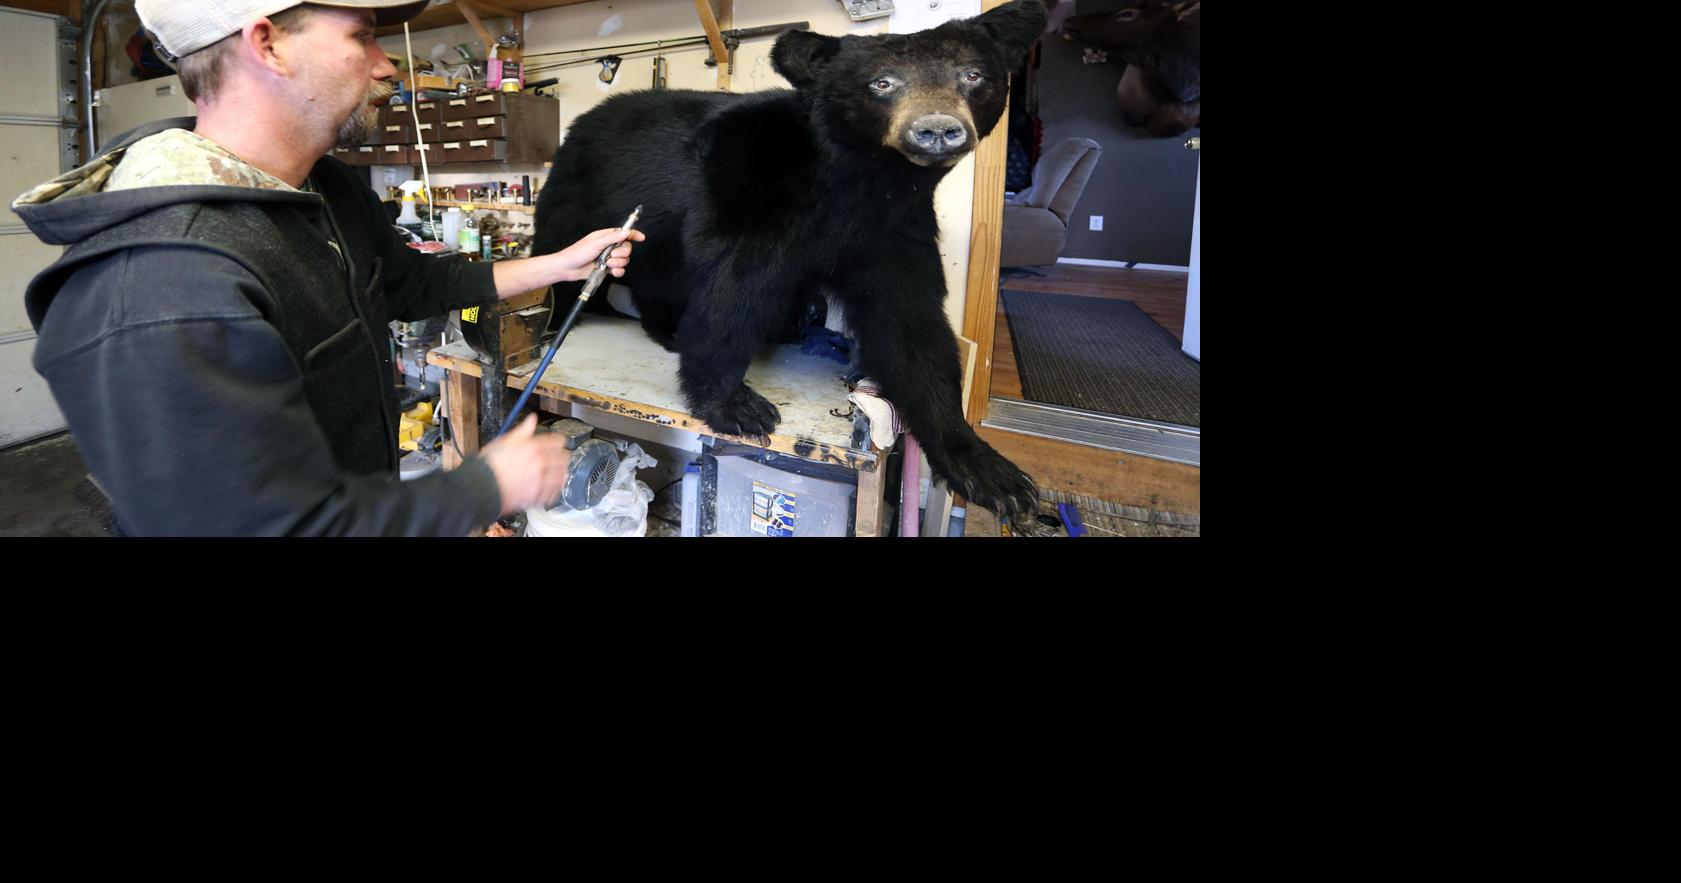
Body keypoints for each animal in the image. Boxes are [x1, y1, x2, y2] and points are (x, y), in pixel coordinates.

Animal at [533, 0, 1049, 524]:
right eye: (882, 83)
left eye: (973, 75)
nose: (938, 128)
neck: (856, 181)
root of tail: (581, 120)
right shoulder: (754, 188)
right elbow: (734, 289)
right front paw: (735, 403)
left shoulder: (892, 228)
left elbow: (910, 324)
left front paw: (989, 471)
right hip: (584, 193)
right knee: (559, 248)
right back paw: (560, 319)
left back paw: (665, 328)